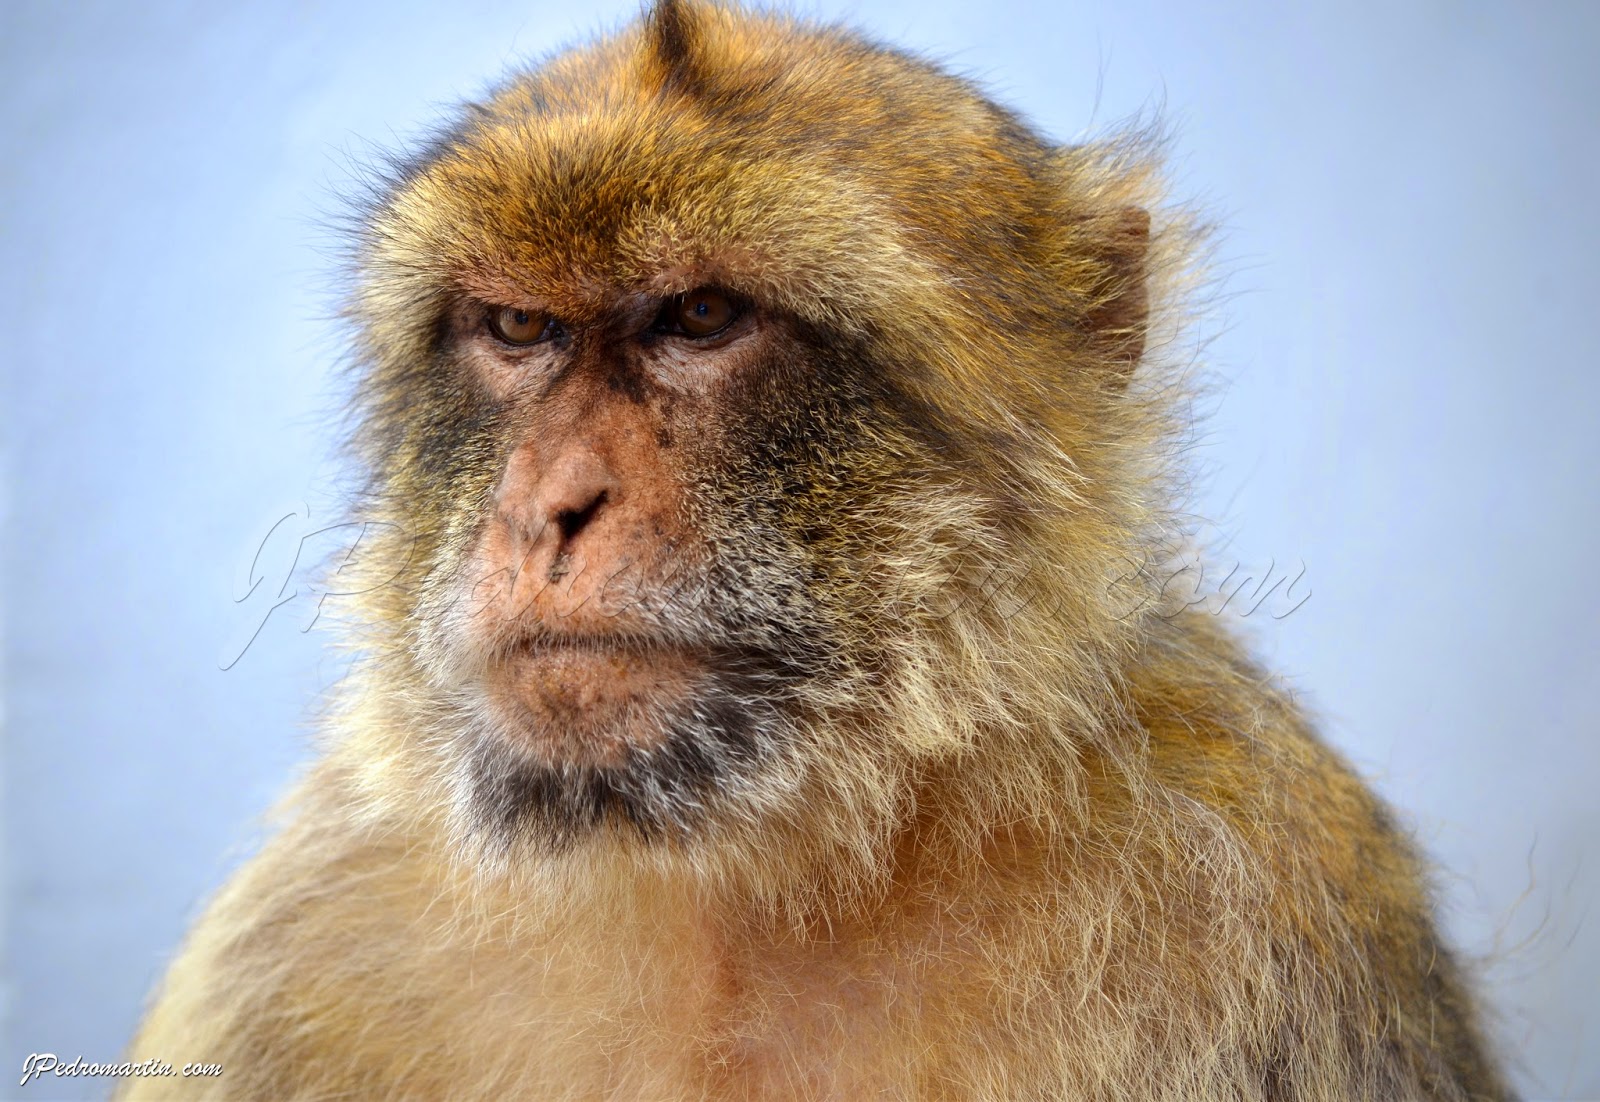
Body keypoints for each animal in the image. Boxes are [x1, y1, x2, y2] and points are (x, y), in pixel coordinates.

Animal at [123, 2, 1514, 1099]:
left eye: (701, 316)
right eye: (516, 328)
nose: (549, 509)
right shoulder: (302, 924)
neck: (745, 875)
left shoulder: (1261, 896)